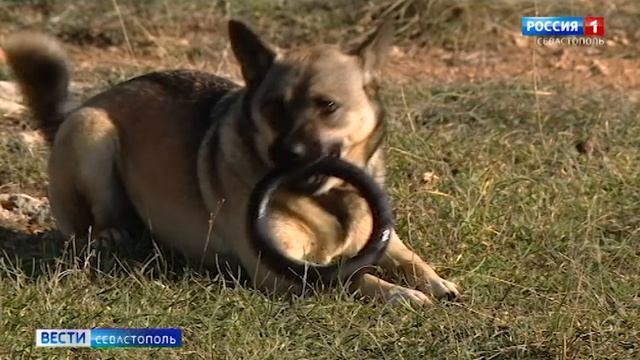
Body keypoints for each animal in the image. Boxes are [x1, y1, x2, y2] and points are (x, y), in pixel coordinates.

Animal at [2, 19, 458, 306]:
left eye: (328, 106)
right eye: (273, 108)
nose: (287, 156)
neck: (331, 202)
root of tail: (82, 106)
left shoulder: (386, 240)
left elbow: (410, 259)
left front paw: (437, 282)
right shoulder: (281, 270)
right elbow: (357, 278)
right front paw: (398, 293)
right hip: (92, 133)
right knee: (85, 227)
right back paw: (112, 234)